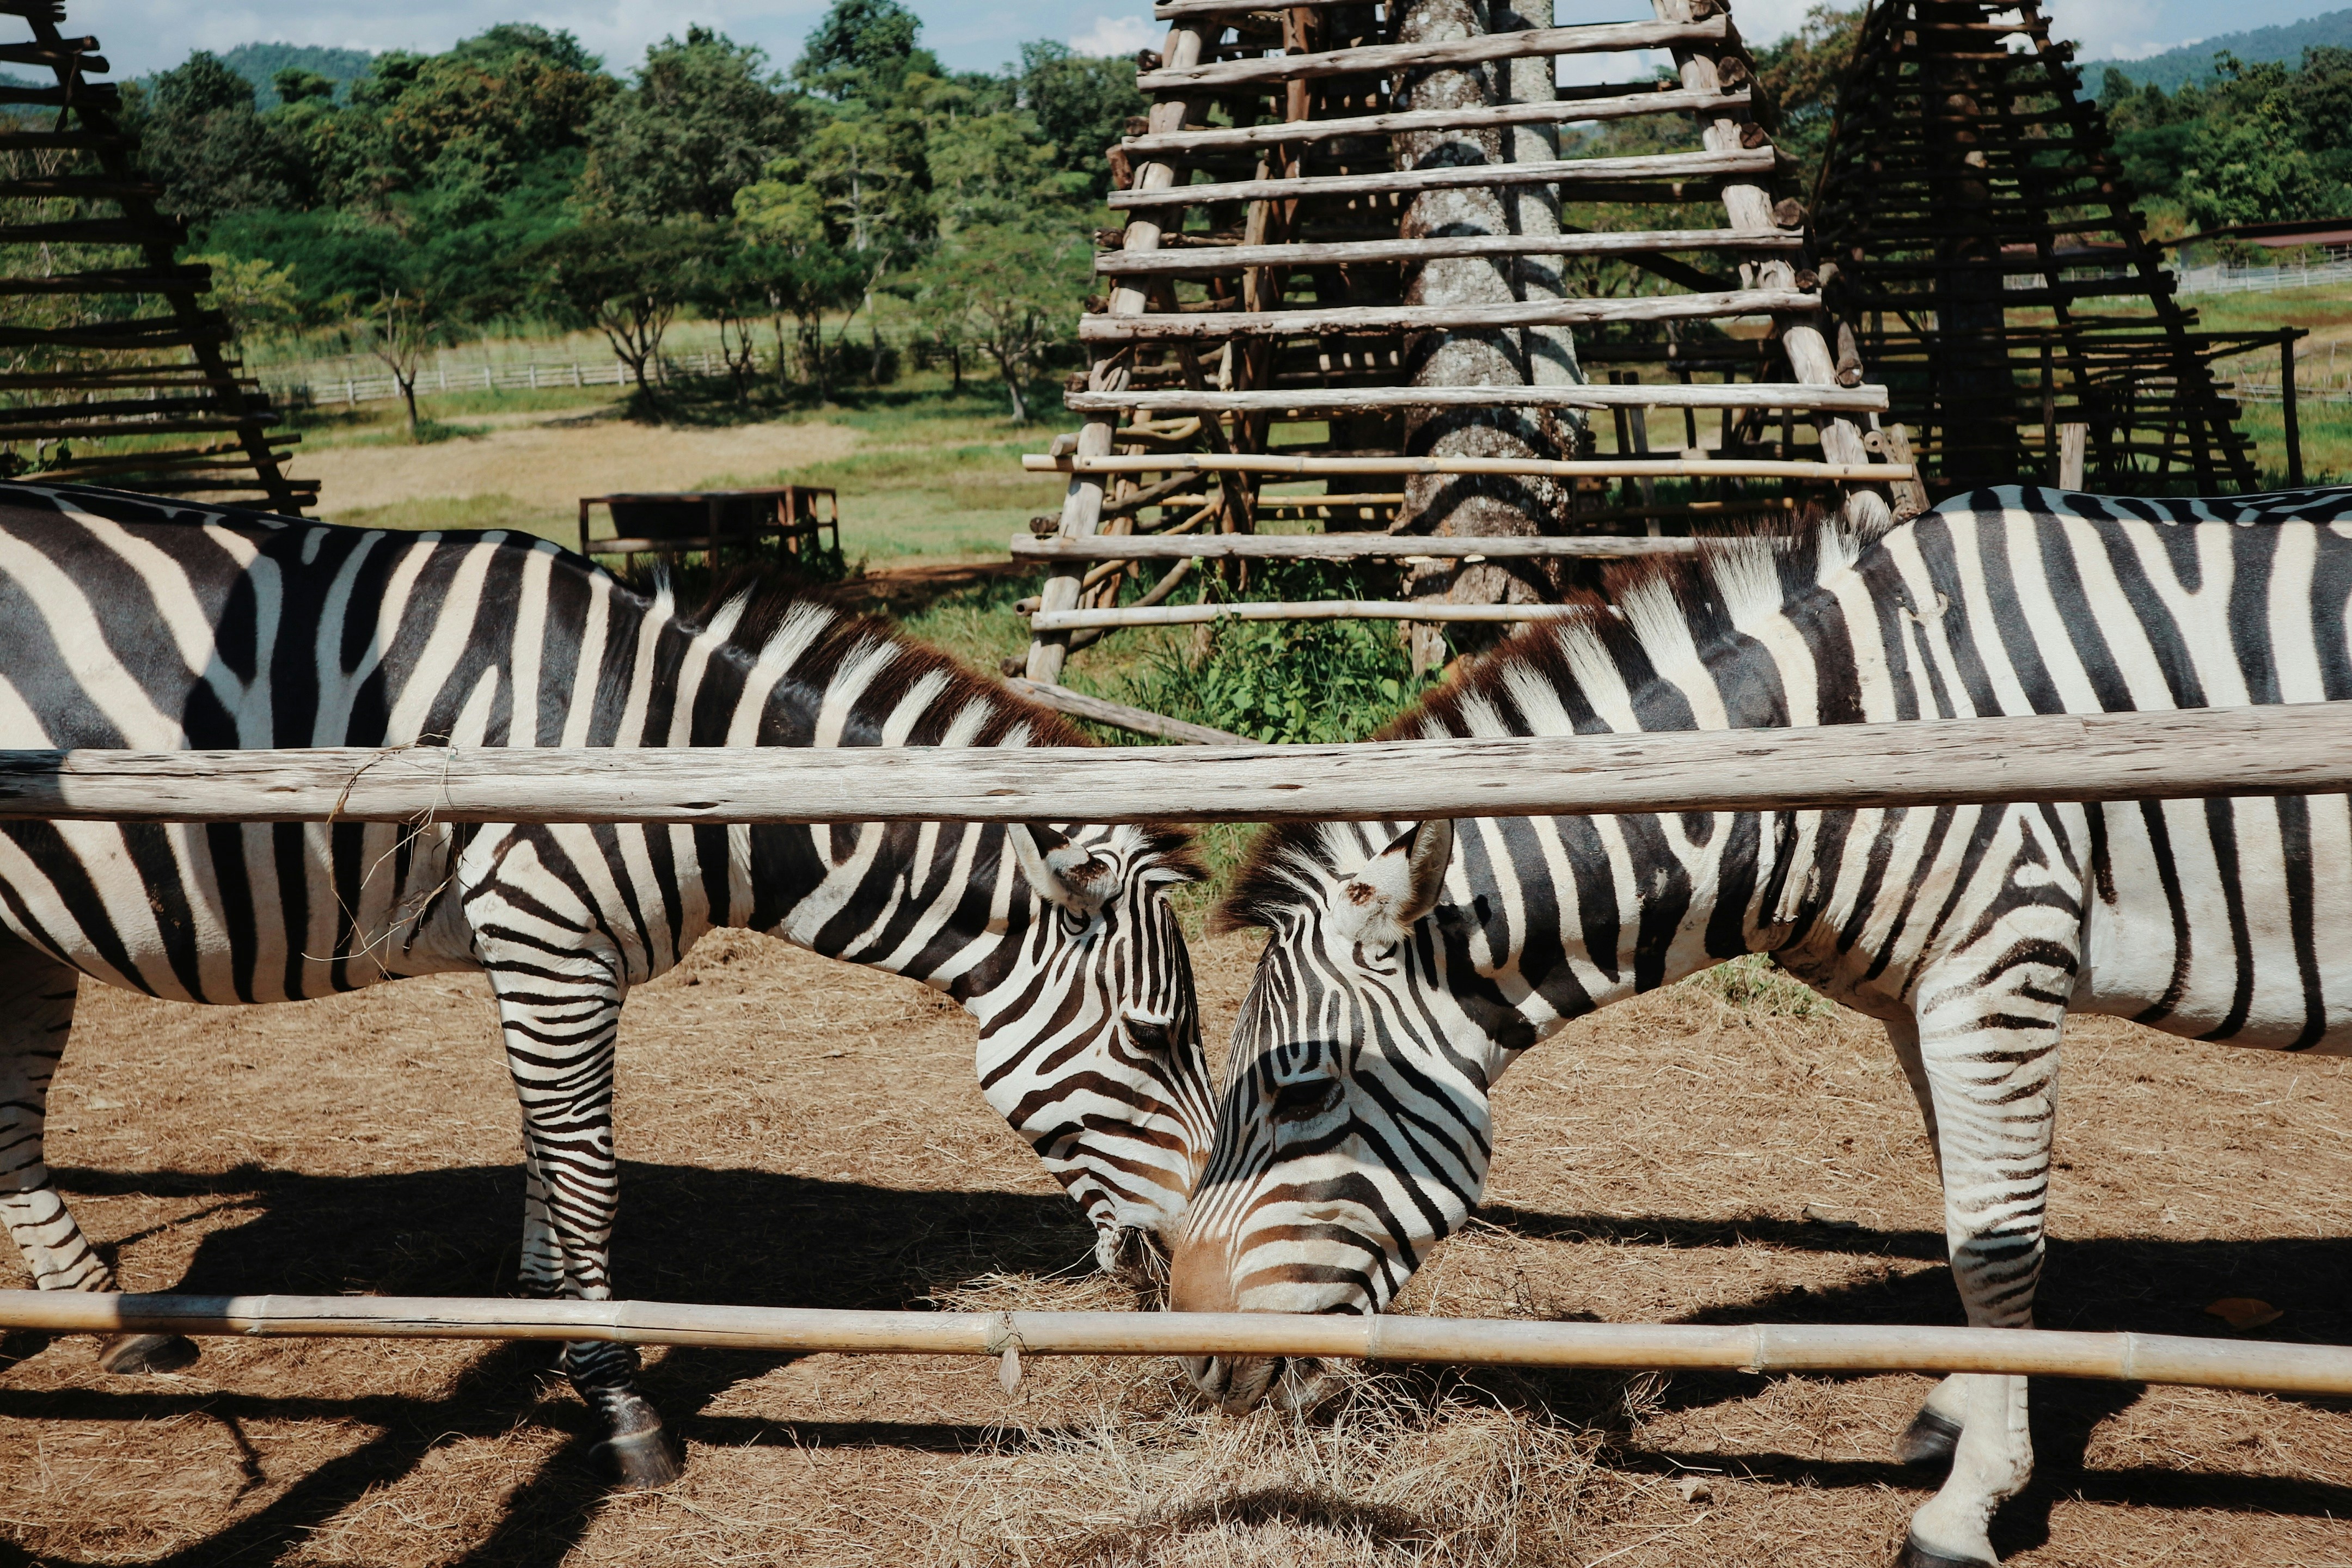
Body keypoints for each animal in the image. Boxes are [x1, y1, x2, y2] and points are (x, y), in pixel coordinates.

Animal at [0, 482, 1214, 1489]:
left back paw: (118, 1322)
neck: (664, 752)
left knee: (13, 1122)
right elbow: (588, 1181)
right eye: (1154, 1039)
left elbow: (550, 1167)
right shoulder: (549, 942)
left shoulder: (551, 958)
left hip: (24, 932)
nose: (1193, 1285)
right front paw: (622, 1402)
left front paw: (551, 1338)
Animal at [1166, 484, 2352, 1568]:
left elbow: (1996, 1240)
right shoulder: (1926, 1001)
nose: (1192, 1352)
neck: (1862, 731)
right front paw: (1962, 1412)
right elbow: (1970, 1224)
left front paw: (1966, 1510)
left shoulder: (2001, 962)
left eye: (1302, 1089)